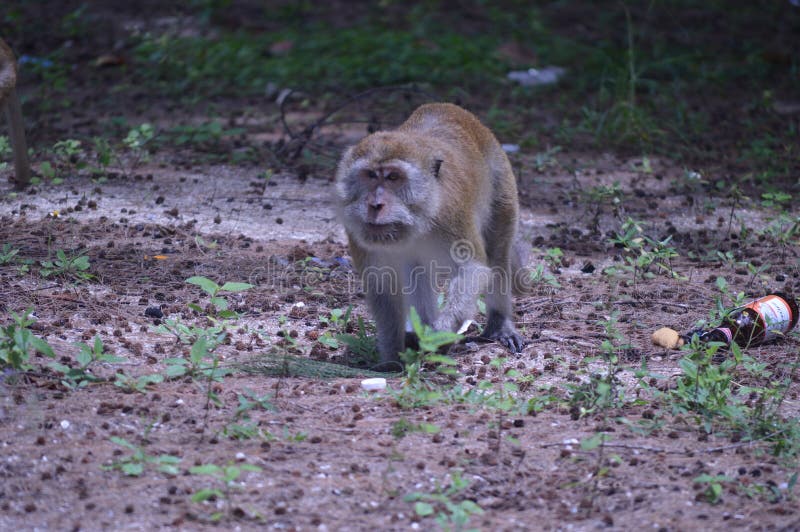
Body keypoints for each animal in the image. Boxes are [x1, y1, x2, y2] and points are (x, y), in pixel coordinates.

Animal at [335, 102, 526, 369]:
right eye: (370, 175)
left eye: (393, 177)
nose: (375, 204)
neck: (415, 222)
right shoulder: (358, 230)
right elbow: (381, 287)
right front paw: (392, 359)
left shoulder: (451, 214)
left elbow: (473, 269)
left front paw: (438, 334)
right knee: (417, 269)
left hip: (502, 182)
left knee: (497, 250)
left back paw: (499, 325)